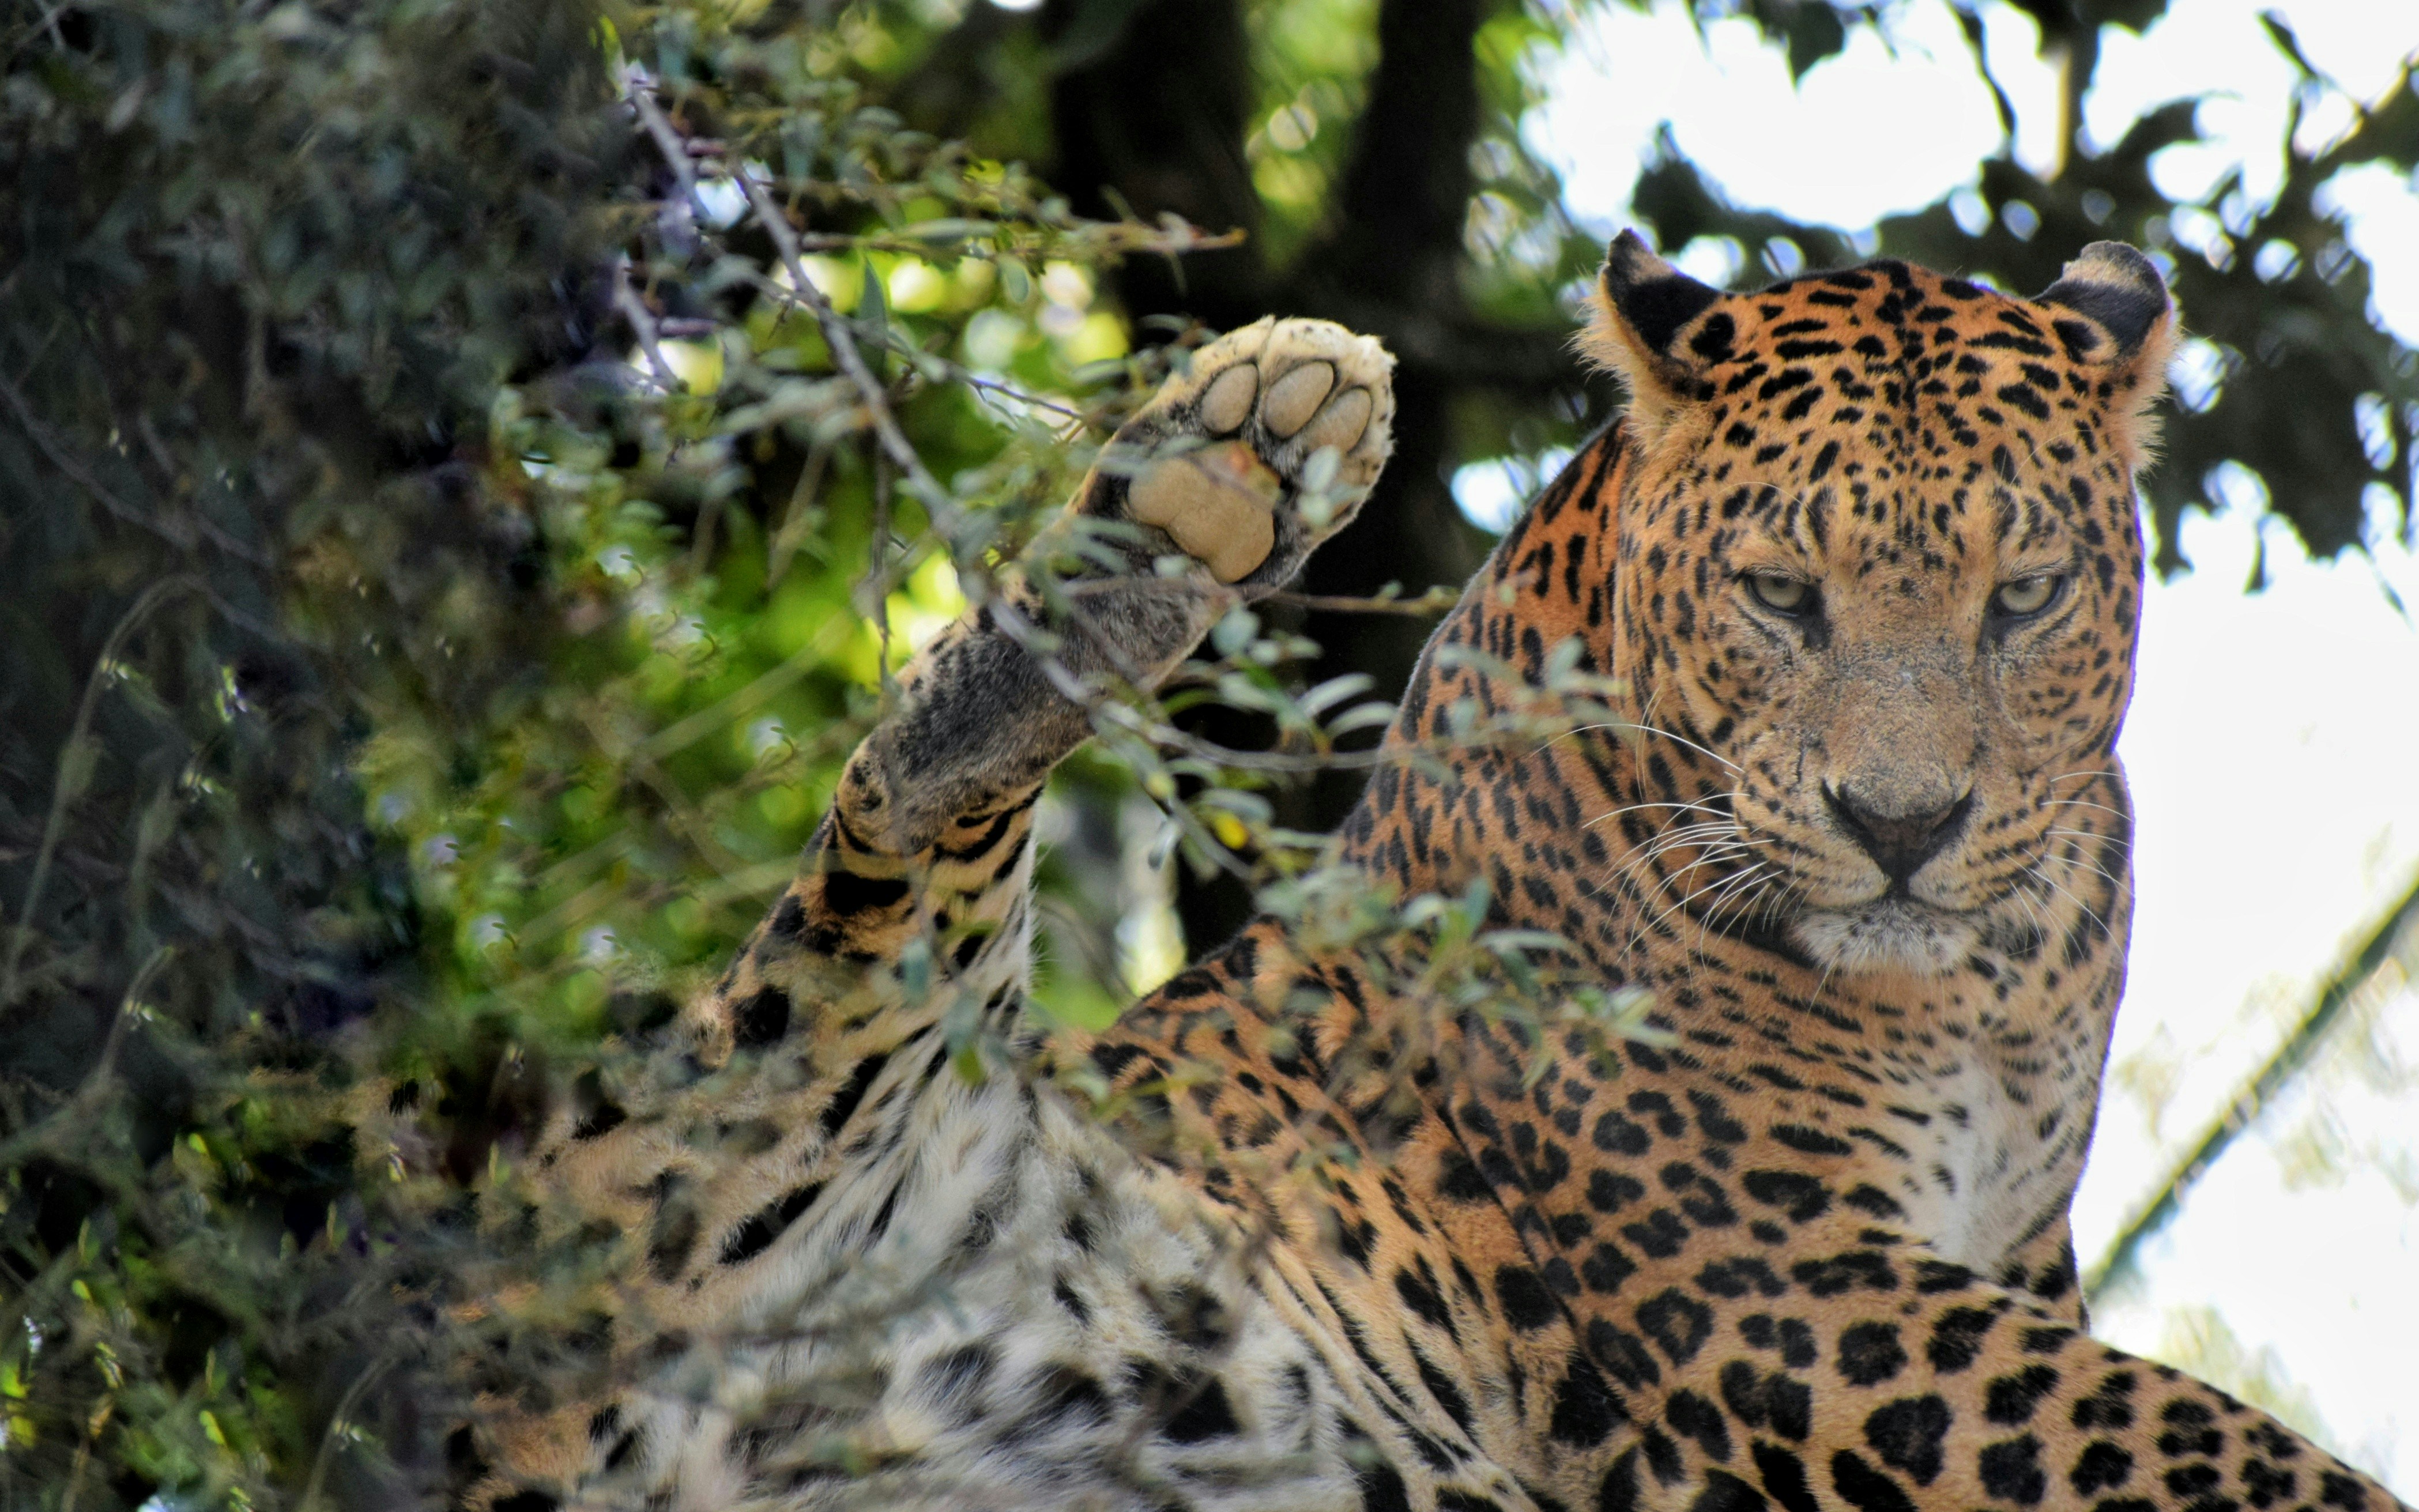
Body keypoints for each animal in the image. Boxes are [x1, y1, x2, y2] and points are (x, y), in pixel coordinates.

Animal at [454, 238, 2414, 1512]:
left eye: (2025, 598)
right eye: (1783, 596)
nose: (1901, 823)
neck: (1983, 989)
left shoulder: (2004, 1255)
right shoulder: (1772, 1287)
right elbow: (2208, 1449)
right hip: (690, 1165)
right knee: (865, 887)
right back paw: (1191, 504)